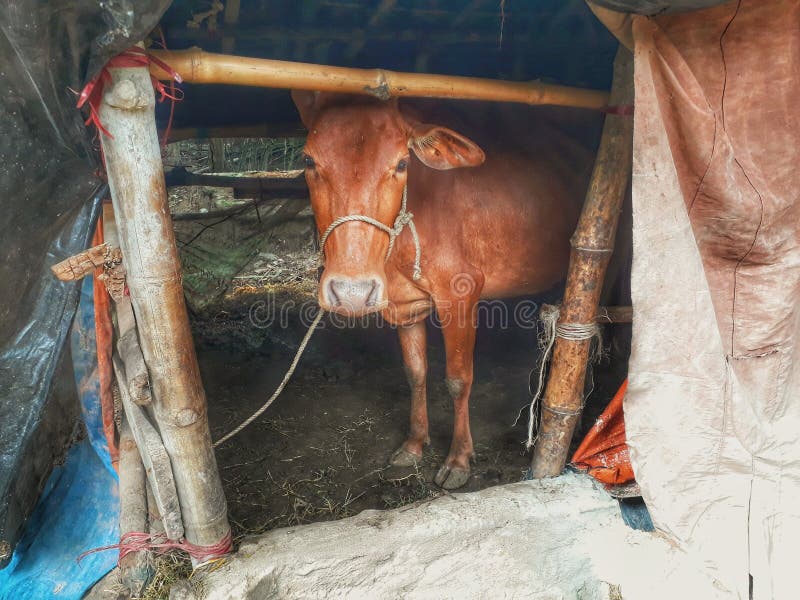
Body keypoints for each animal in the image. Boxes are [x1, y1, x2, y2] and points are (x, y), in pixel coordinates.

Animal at [292, 91, 597, 489]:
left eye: (402, 163)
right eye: (308, 160)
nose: (352, 291)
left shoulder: (461, 294)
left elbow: (458, 379)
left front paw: (458, 459)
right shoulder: (405, 303)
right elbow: (415, 372)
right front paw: (414, 444)